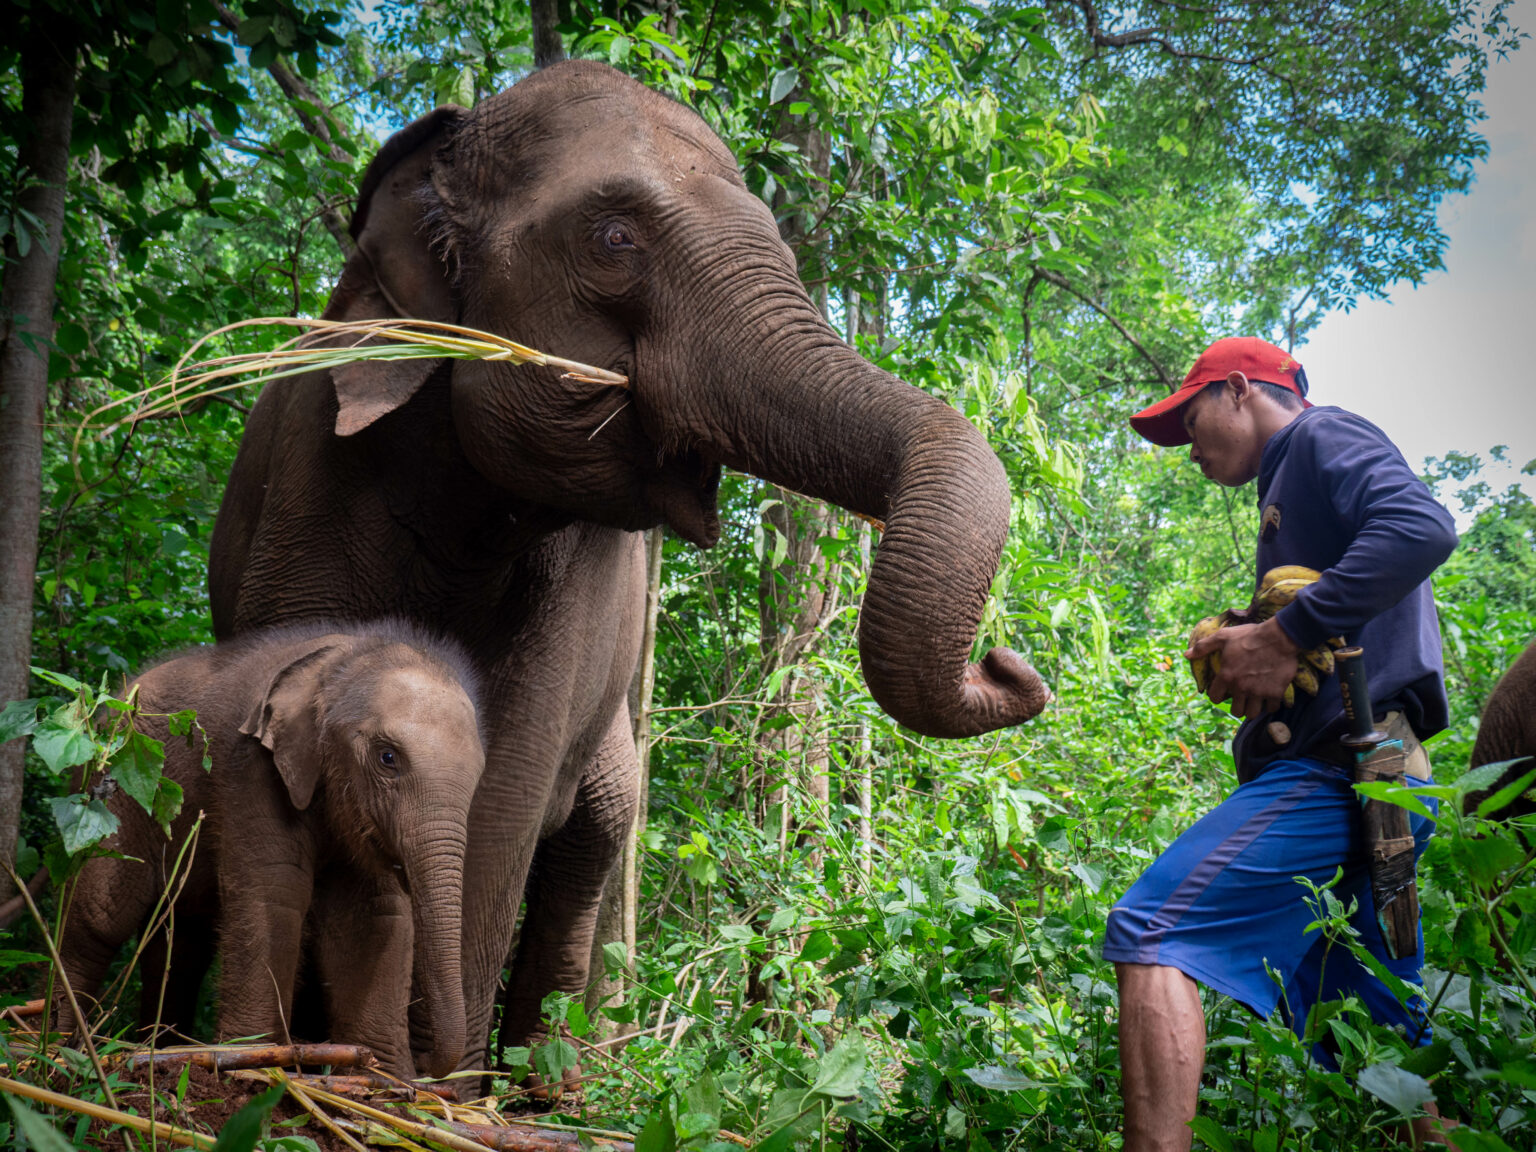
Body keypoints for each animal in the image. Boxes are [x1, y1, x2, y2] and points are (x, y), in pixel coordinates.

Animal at [57, 621, 484, 1079]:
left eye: (479, 775)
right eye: (388, 758)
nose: (426, 1063)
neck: (348, 656)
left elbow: (374, 914)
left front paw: (385, 1077)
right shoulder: (248, 766)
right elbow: (275, 891)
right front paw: (252, 1063)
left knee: (182, 941)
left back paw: (161, 1048)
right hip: (108, 787)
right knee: (99, 918)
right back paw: (60, 1047)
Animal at [206, 59, 1051, 1077]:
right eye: (614, 238)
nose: (1005, 660)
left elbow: (507, 784)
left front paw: (434, 1084)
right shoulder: (313, 479)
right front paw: (342, 1069)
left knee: (597, 831)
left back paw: (540, 1082)